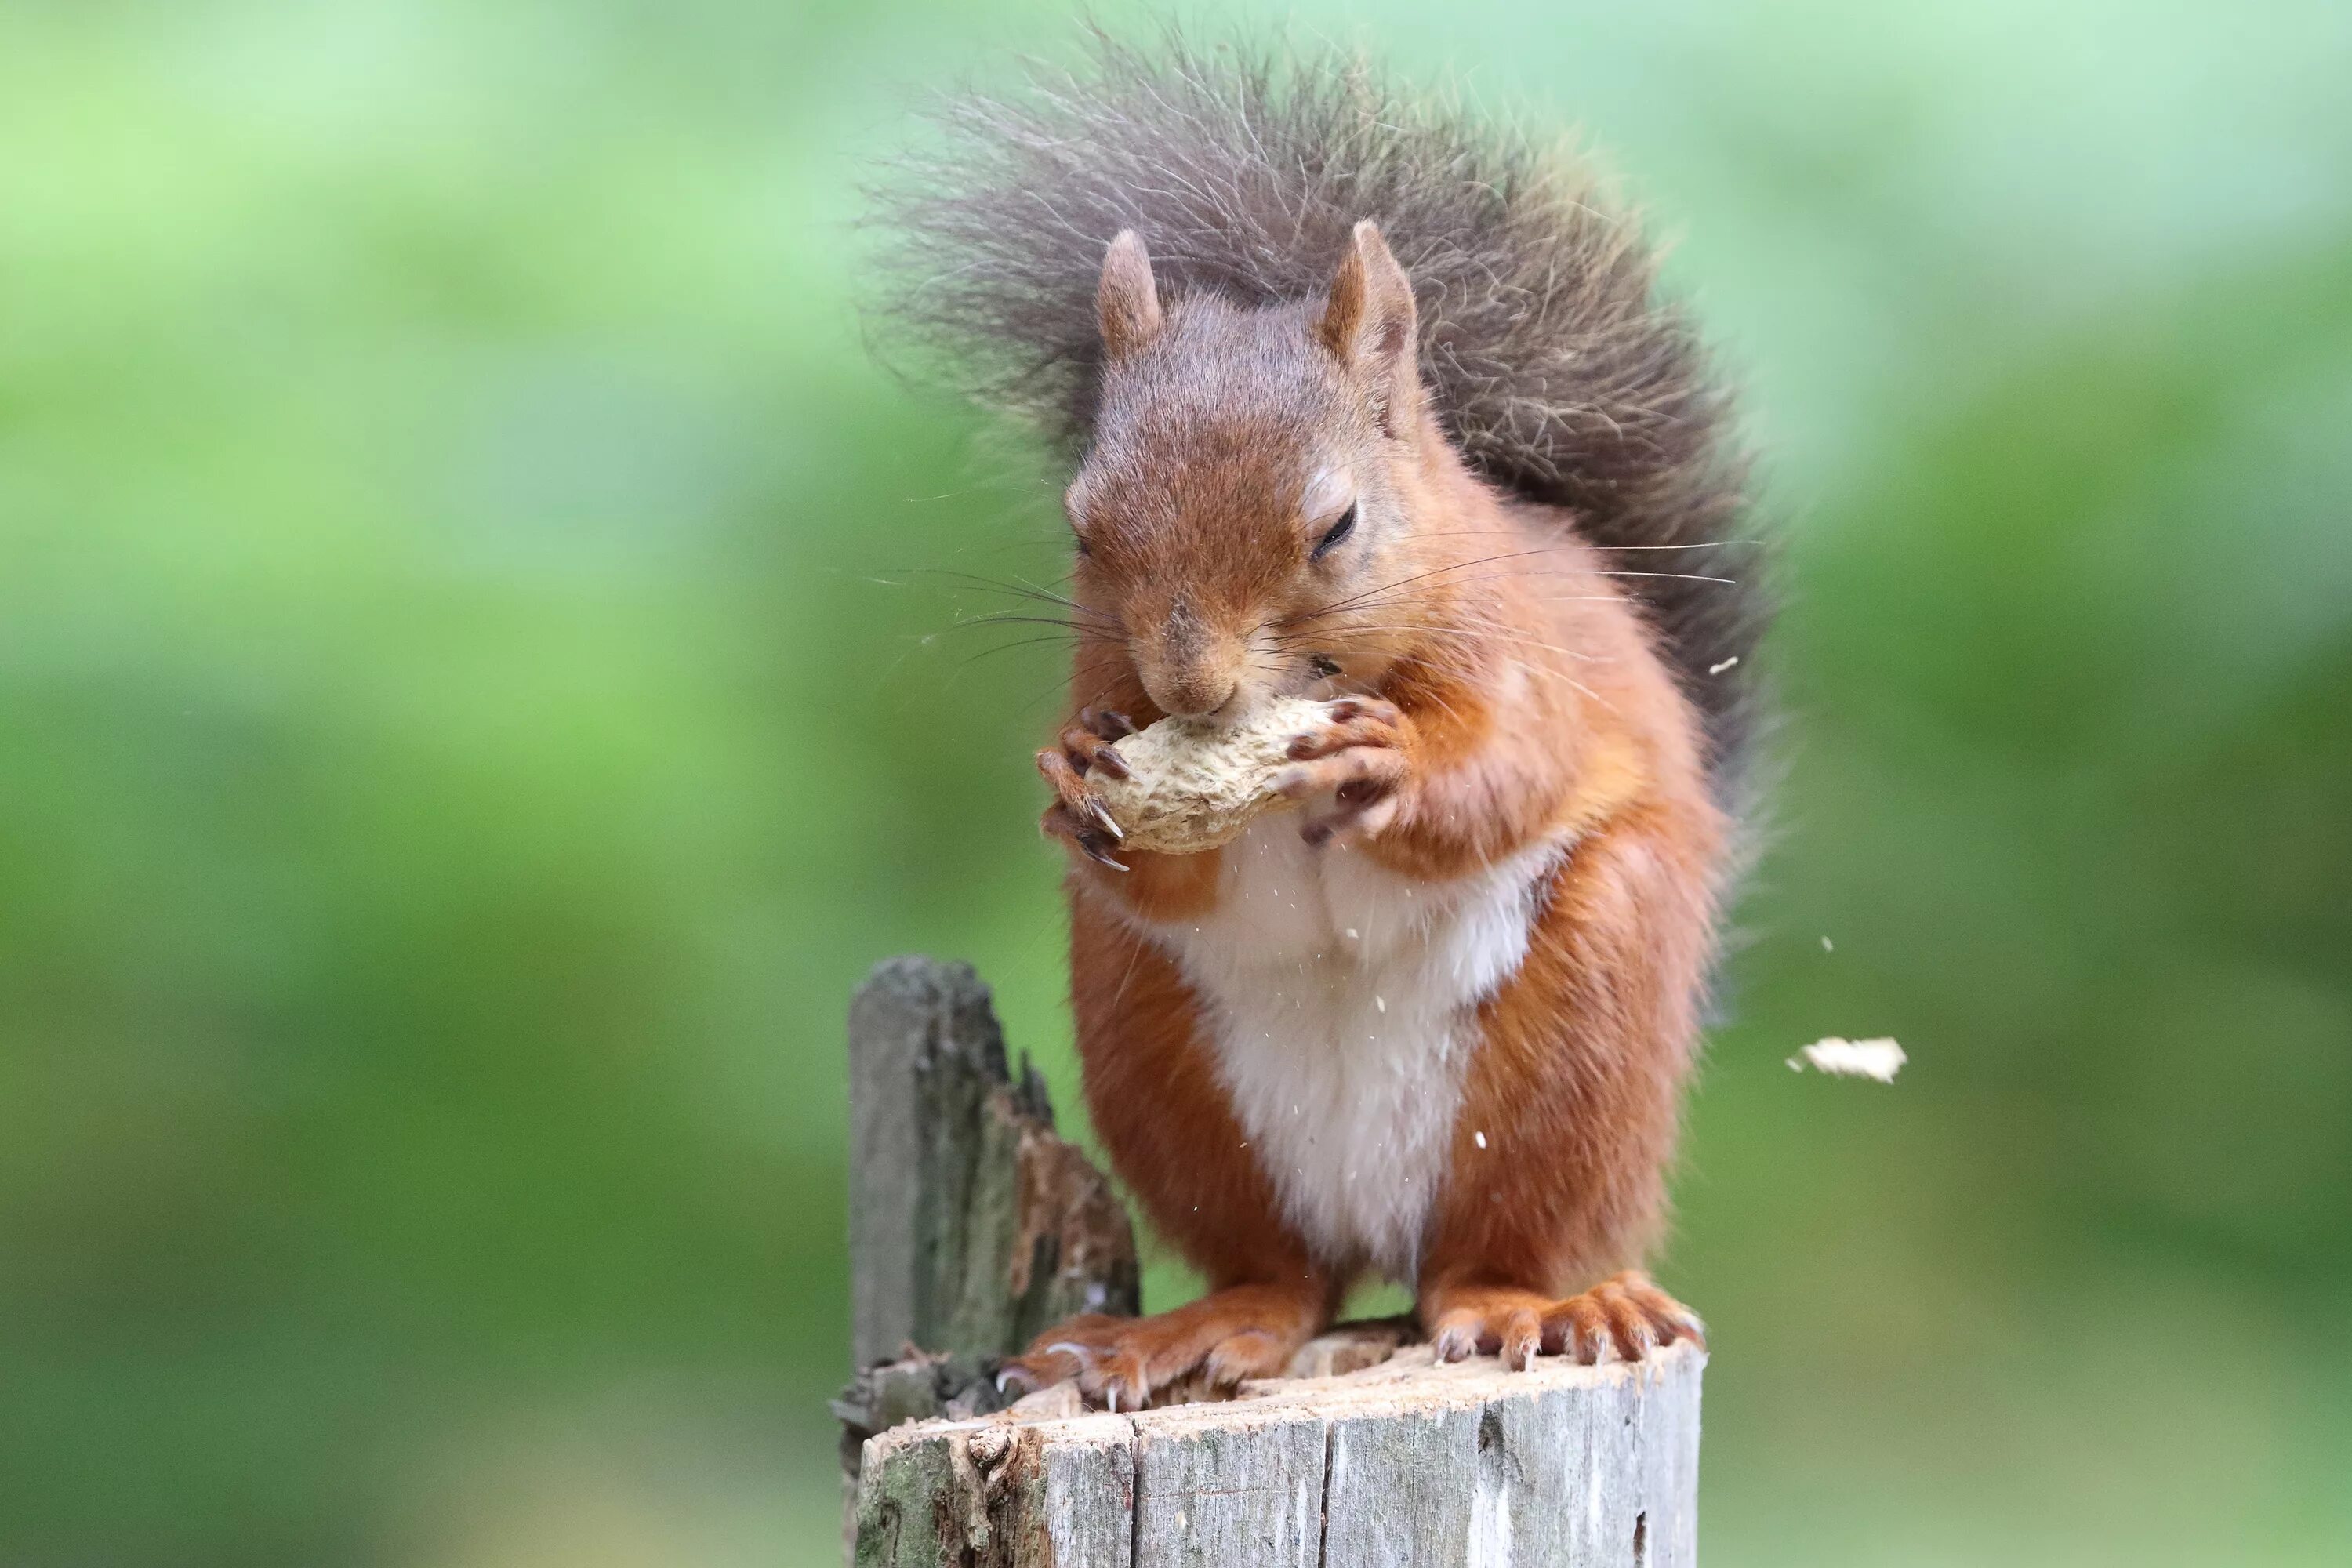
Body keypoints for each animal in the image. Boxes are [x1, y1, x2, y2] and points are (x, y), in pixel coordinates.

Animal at [880, 27, 1769, 1410]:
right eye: (1083, 526)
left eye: (1338, 525)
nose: (1191, 690)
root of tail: (1379, 1230)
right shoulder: (1102, 669)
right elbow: (1151, 843)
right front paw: (1077, 780)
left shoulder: (1527, 662)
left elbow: (1509, 772)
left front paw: (1386, 767)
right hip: (1160, 1056)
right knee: (1279, 1275)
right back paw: (1187, 1330)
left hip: (1584, 1031)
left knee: (1490, 1256)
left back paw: (1548, 1304)